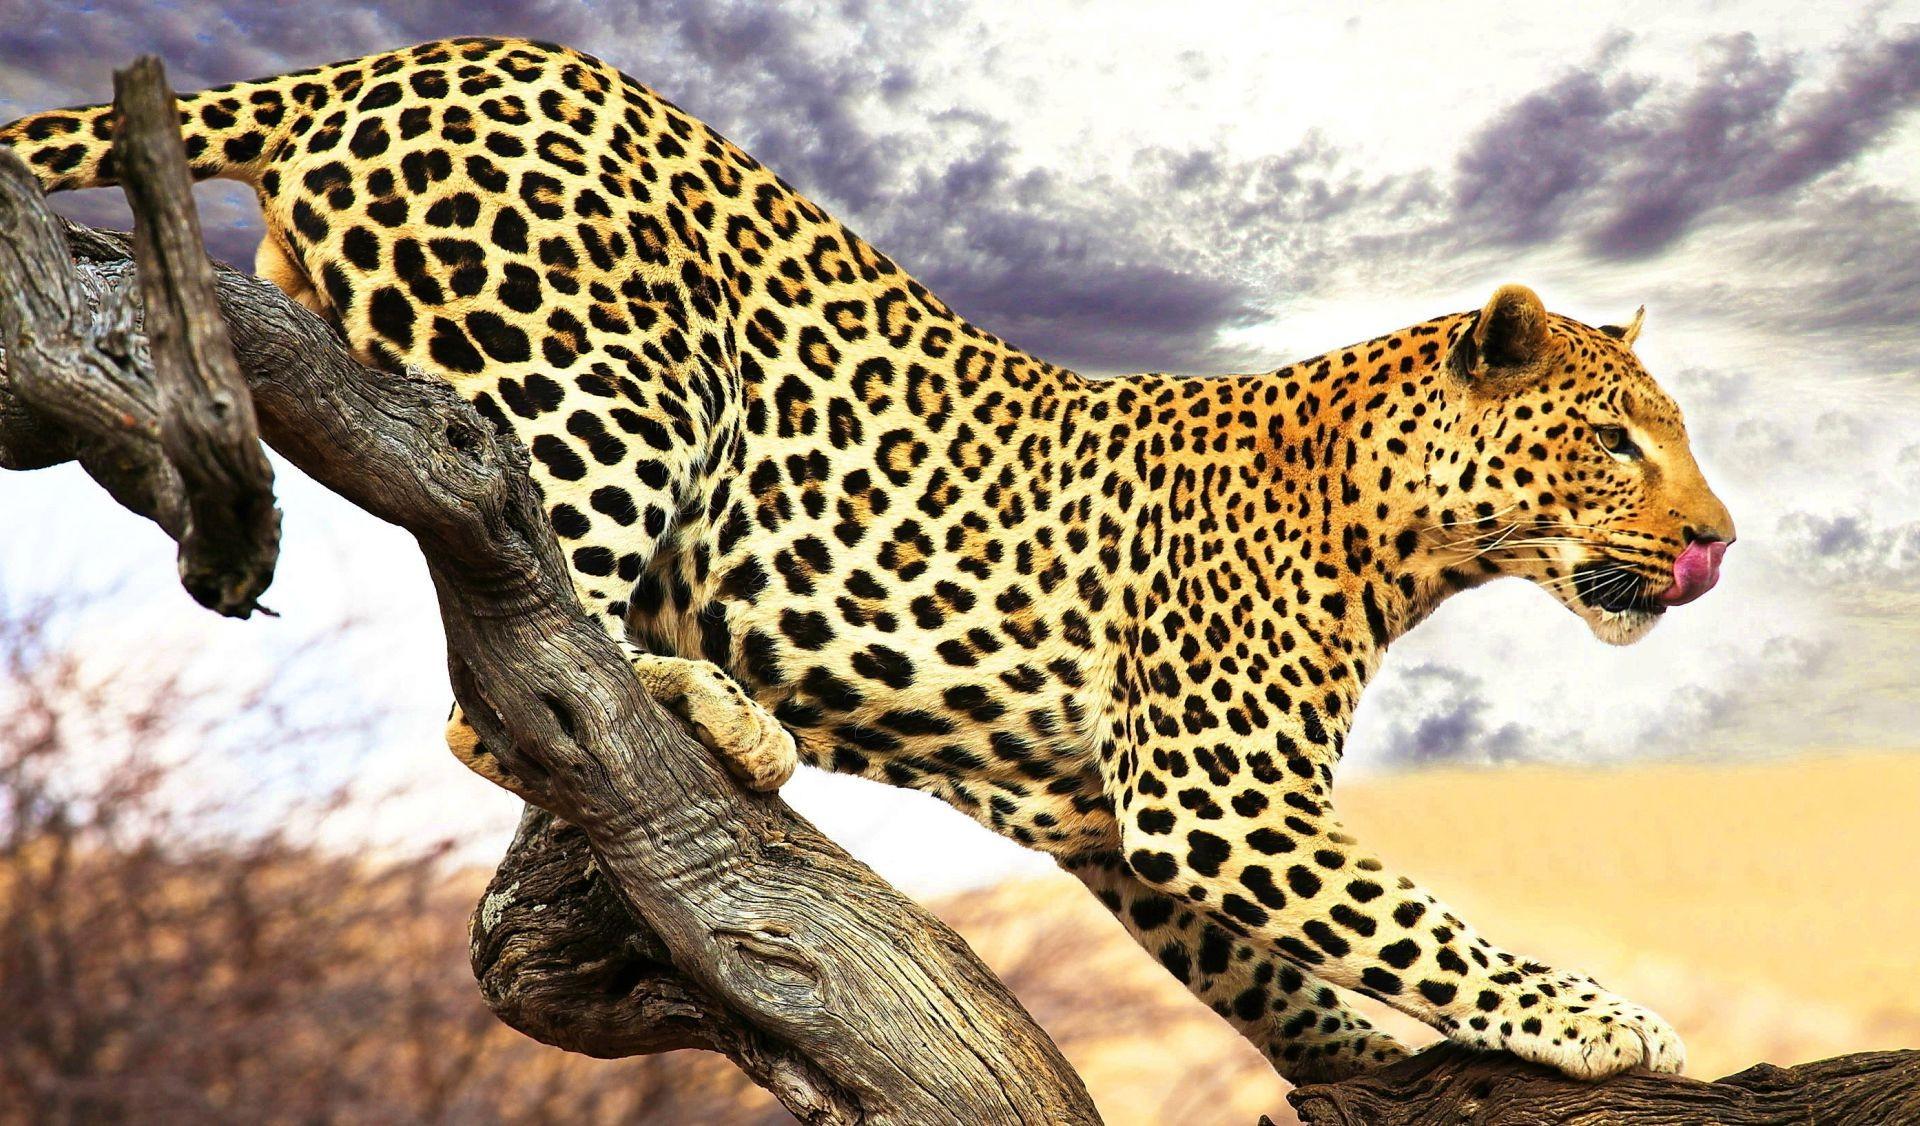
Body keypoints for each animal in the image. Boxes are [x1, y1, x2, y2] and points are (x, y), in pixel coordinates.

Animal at [3, 36, 1737, 1085]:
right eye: (1618, 439)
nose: (1720, 539)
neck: (1399, 531)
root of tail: (399, 57)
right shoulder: (1217, 793)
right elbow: (1418, 924)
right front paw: (1606, 1019)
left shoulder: (1120, 823)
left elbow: (1297, 977)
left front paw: (1374, 1070)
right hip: (607, 383)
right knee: (507, 672)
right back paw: (717, 711)